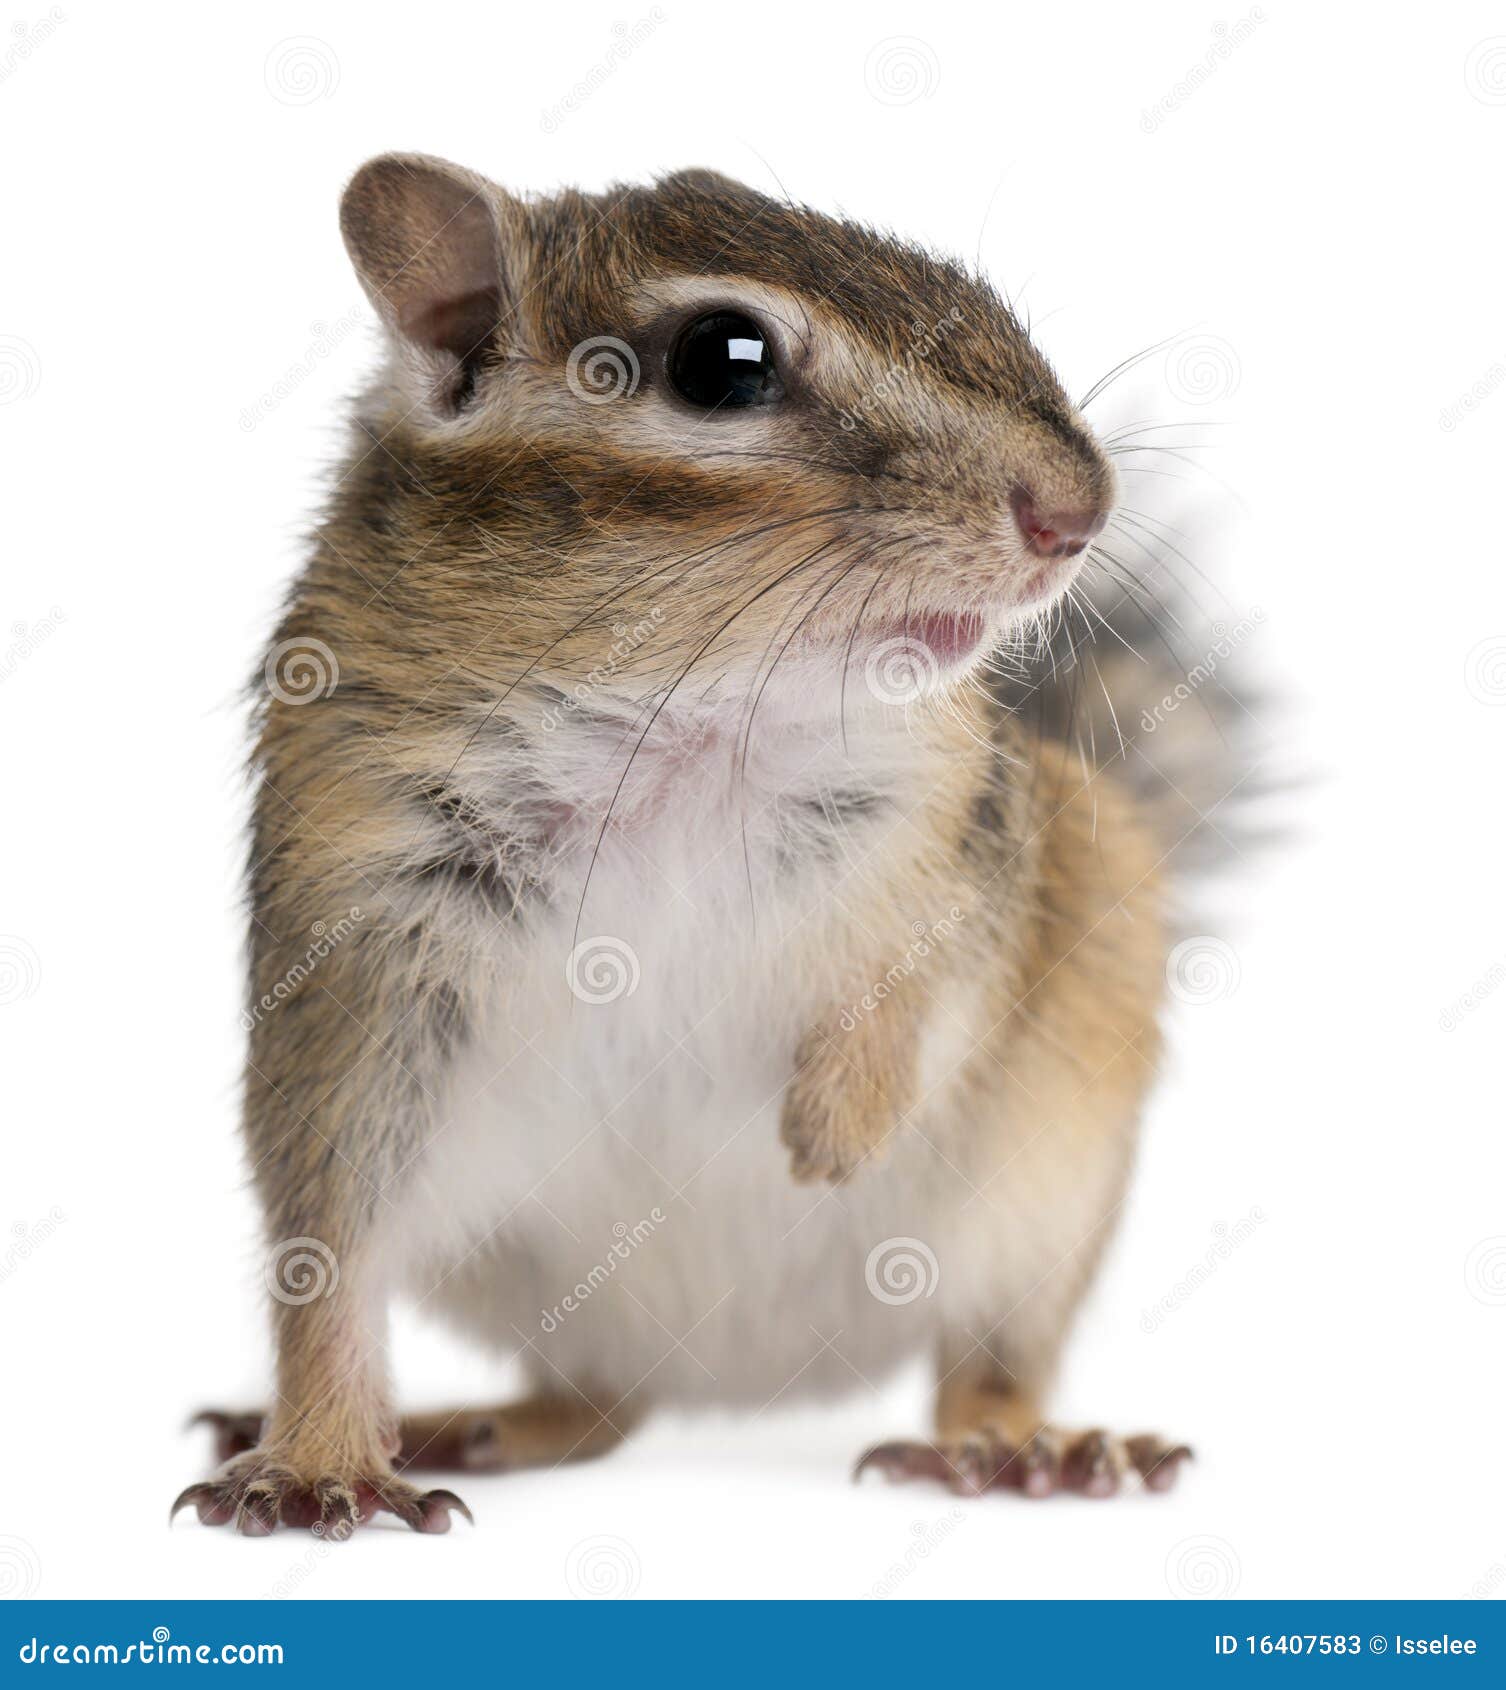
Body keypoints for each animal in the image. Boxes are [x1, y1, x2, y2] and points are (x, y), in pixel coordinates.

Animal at [175, 154, 1250, 1537]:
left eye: (971, 285)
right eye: (721, 361)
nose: (1079, 508)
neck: (686, 724)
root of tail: (731, 1371)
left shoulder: (963, 837)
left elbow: (935, 977)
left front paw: (837, 1130)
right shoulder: (364, 942)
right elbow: (330, 1255)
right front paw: (312, 1462)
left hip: (1044, 1196)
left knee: (986, 1363)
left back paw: (1020, 1448)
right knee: (591, 1402)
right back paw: (469, 1423)